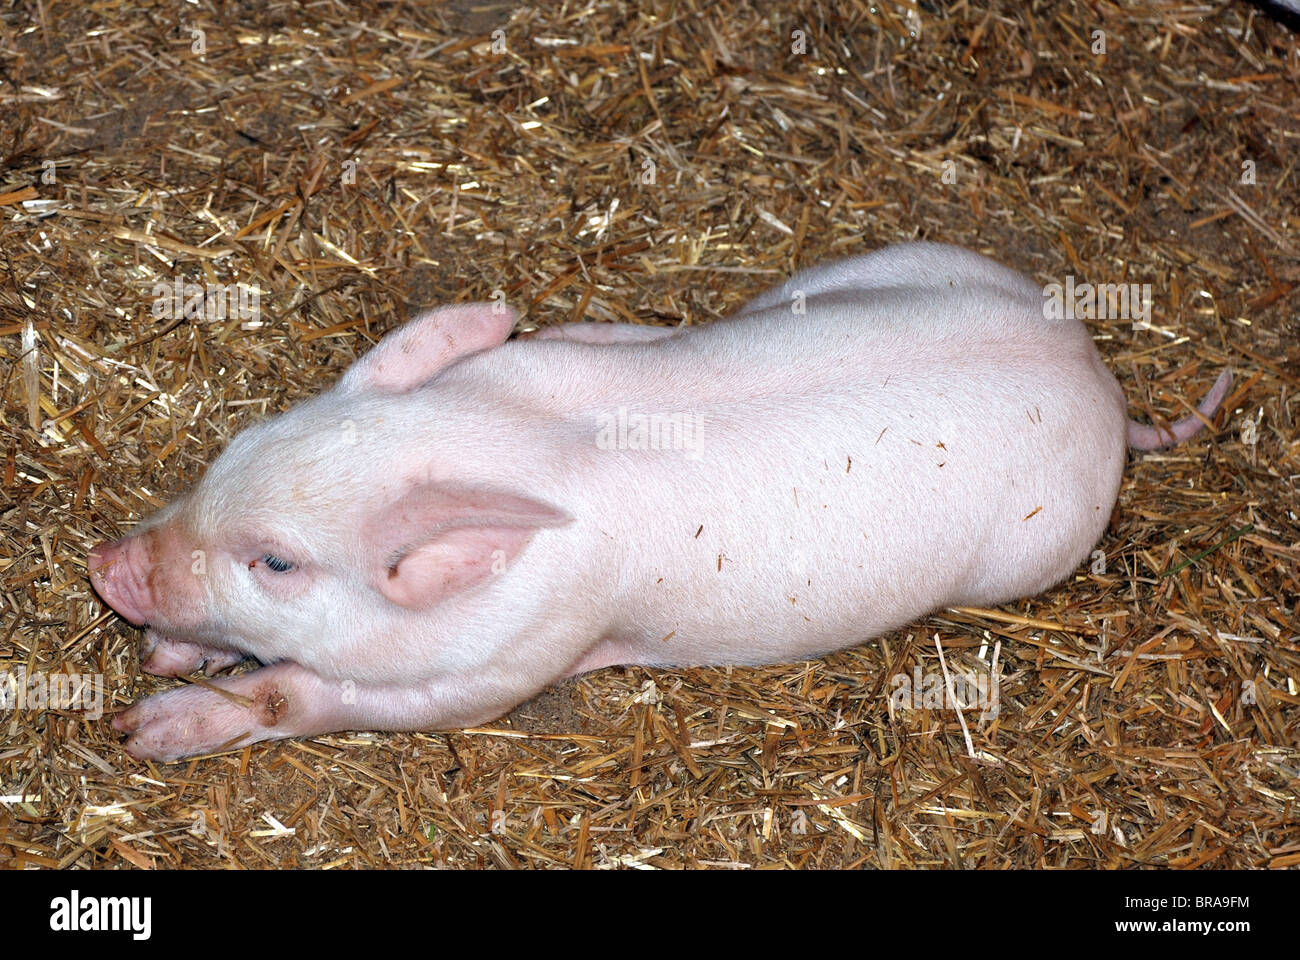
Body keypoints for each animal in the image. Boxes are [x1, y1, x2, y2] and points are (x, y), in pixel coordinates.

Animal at [89, 242, 1232, 761]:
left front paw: (149, 728)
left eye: (277, 561)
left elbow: (312, 695)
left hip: (1035, 552)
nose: (105, 568)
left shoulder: (520, 652)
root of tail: (1101, 381)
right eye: (229, 453)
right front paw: (164, 662)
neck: (493, 442)